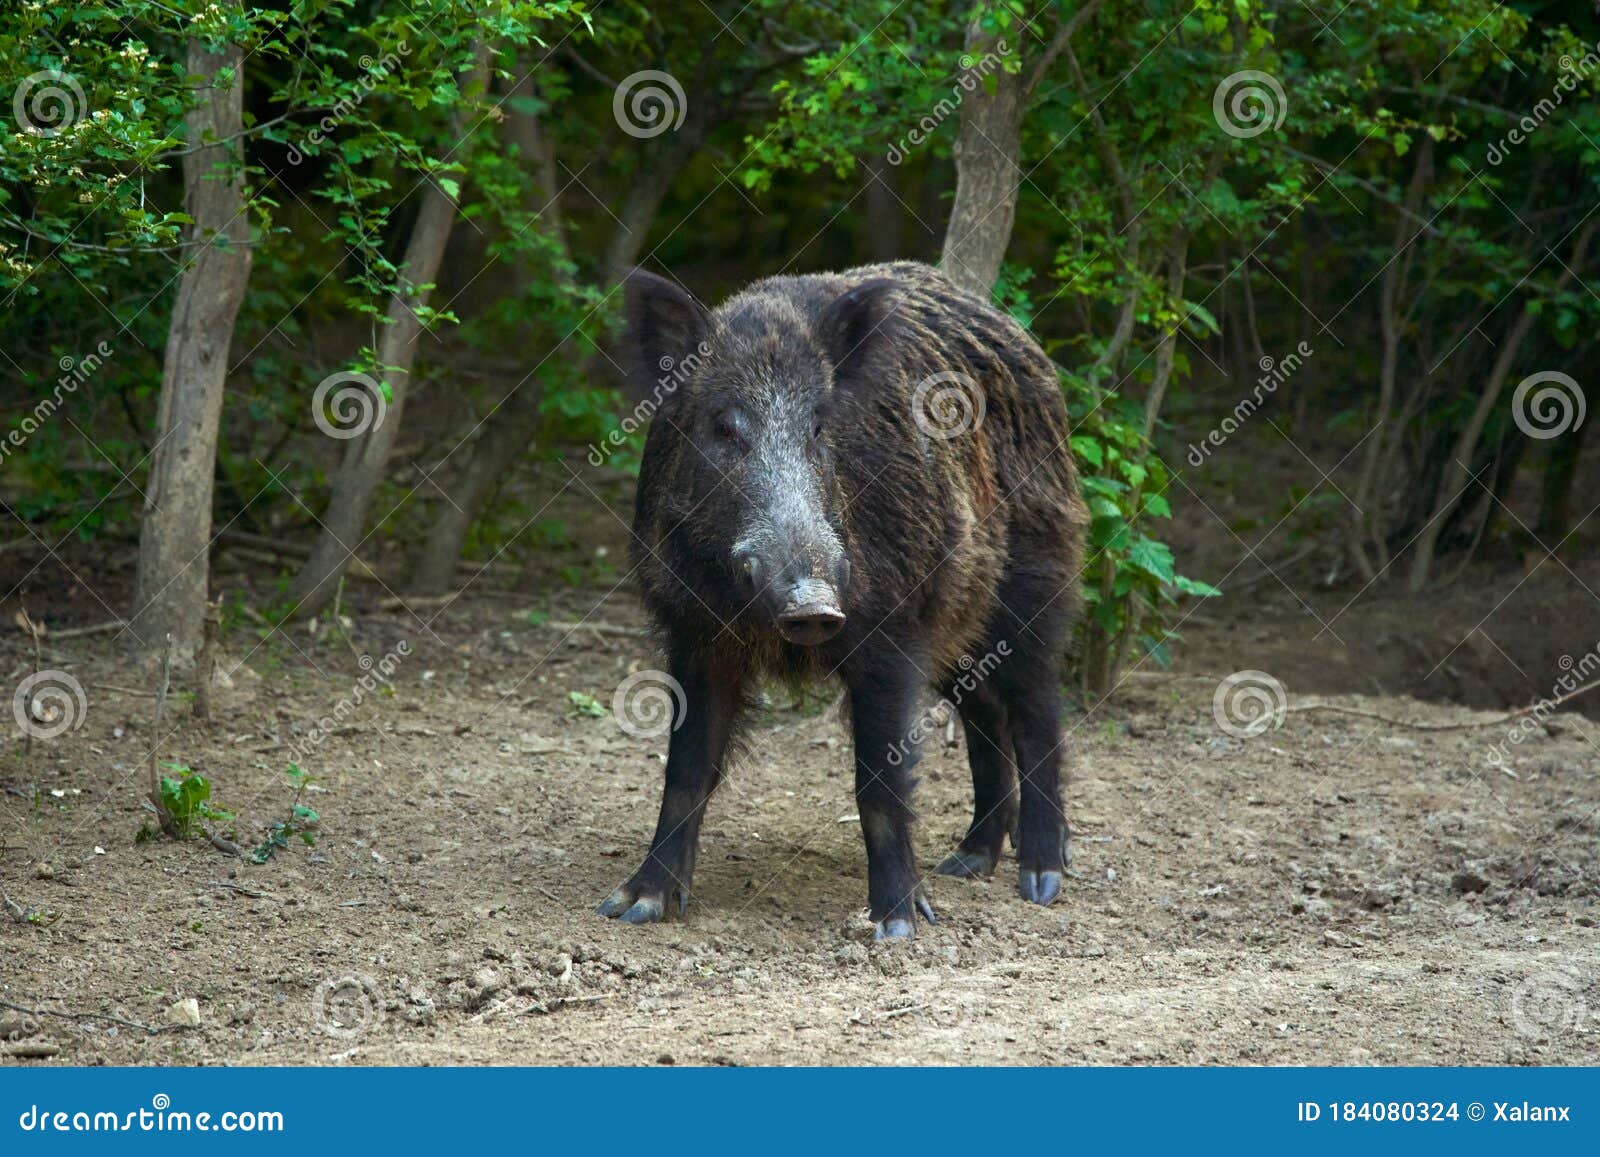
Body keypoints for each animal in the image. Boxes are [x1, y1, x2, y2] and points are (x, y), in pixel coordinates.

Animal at [597, 261, 1086, 939]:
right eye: (724, 427)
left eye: (819, 427)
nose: (814, 604)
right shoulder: (694, 630)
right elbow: (685, 769)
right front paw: (633, 908)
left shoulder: (892, 625)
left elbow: (879, 778)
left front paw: (897, 925)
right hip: (958, 614)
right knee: (984, 710)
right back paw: (965, 864)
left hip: (1037, 574)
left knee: (1037, 710)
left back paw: (1041, 882)